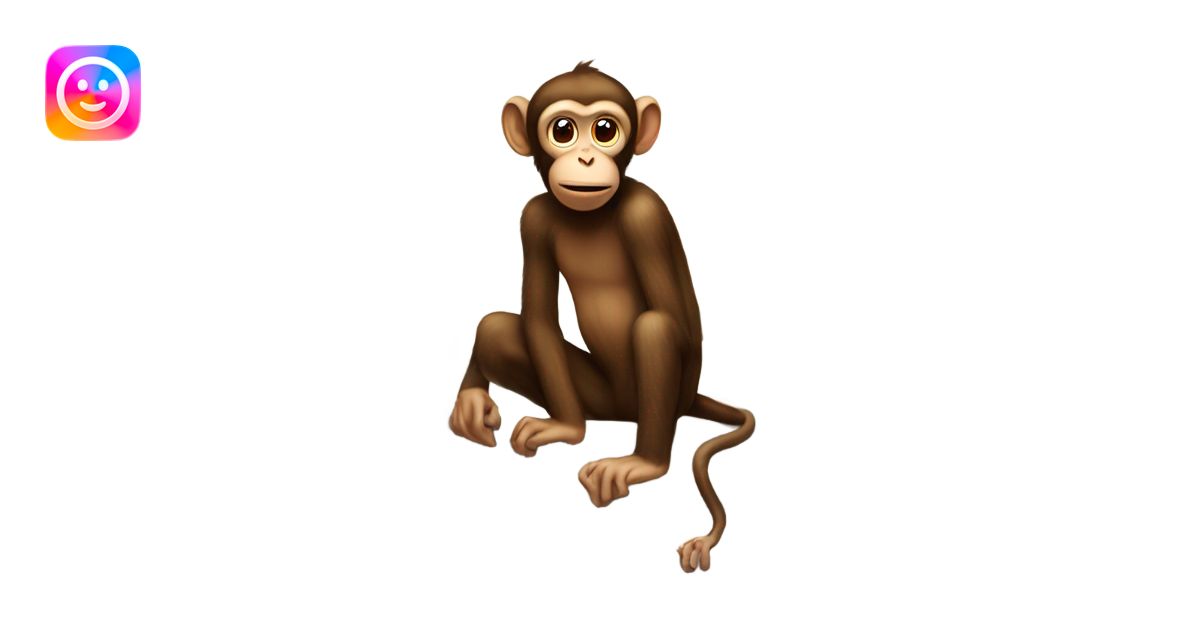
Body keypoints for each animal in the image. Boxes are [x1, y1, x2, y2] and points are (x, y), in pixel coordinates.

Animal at [448, 62, 754, 573]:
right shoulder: (532, 218)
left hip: (657, 403)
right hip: (600, 398)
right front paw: (564, 429)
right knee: (494, 327)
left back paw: (646, 461)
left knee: (655, 327)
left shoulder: (648, 215)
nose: (588, 158)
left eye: (605, 130)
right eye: (563, 130)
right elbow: (537, 316)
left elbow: (673, 315)